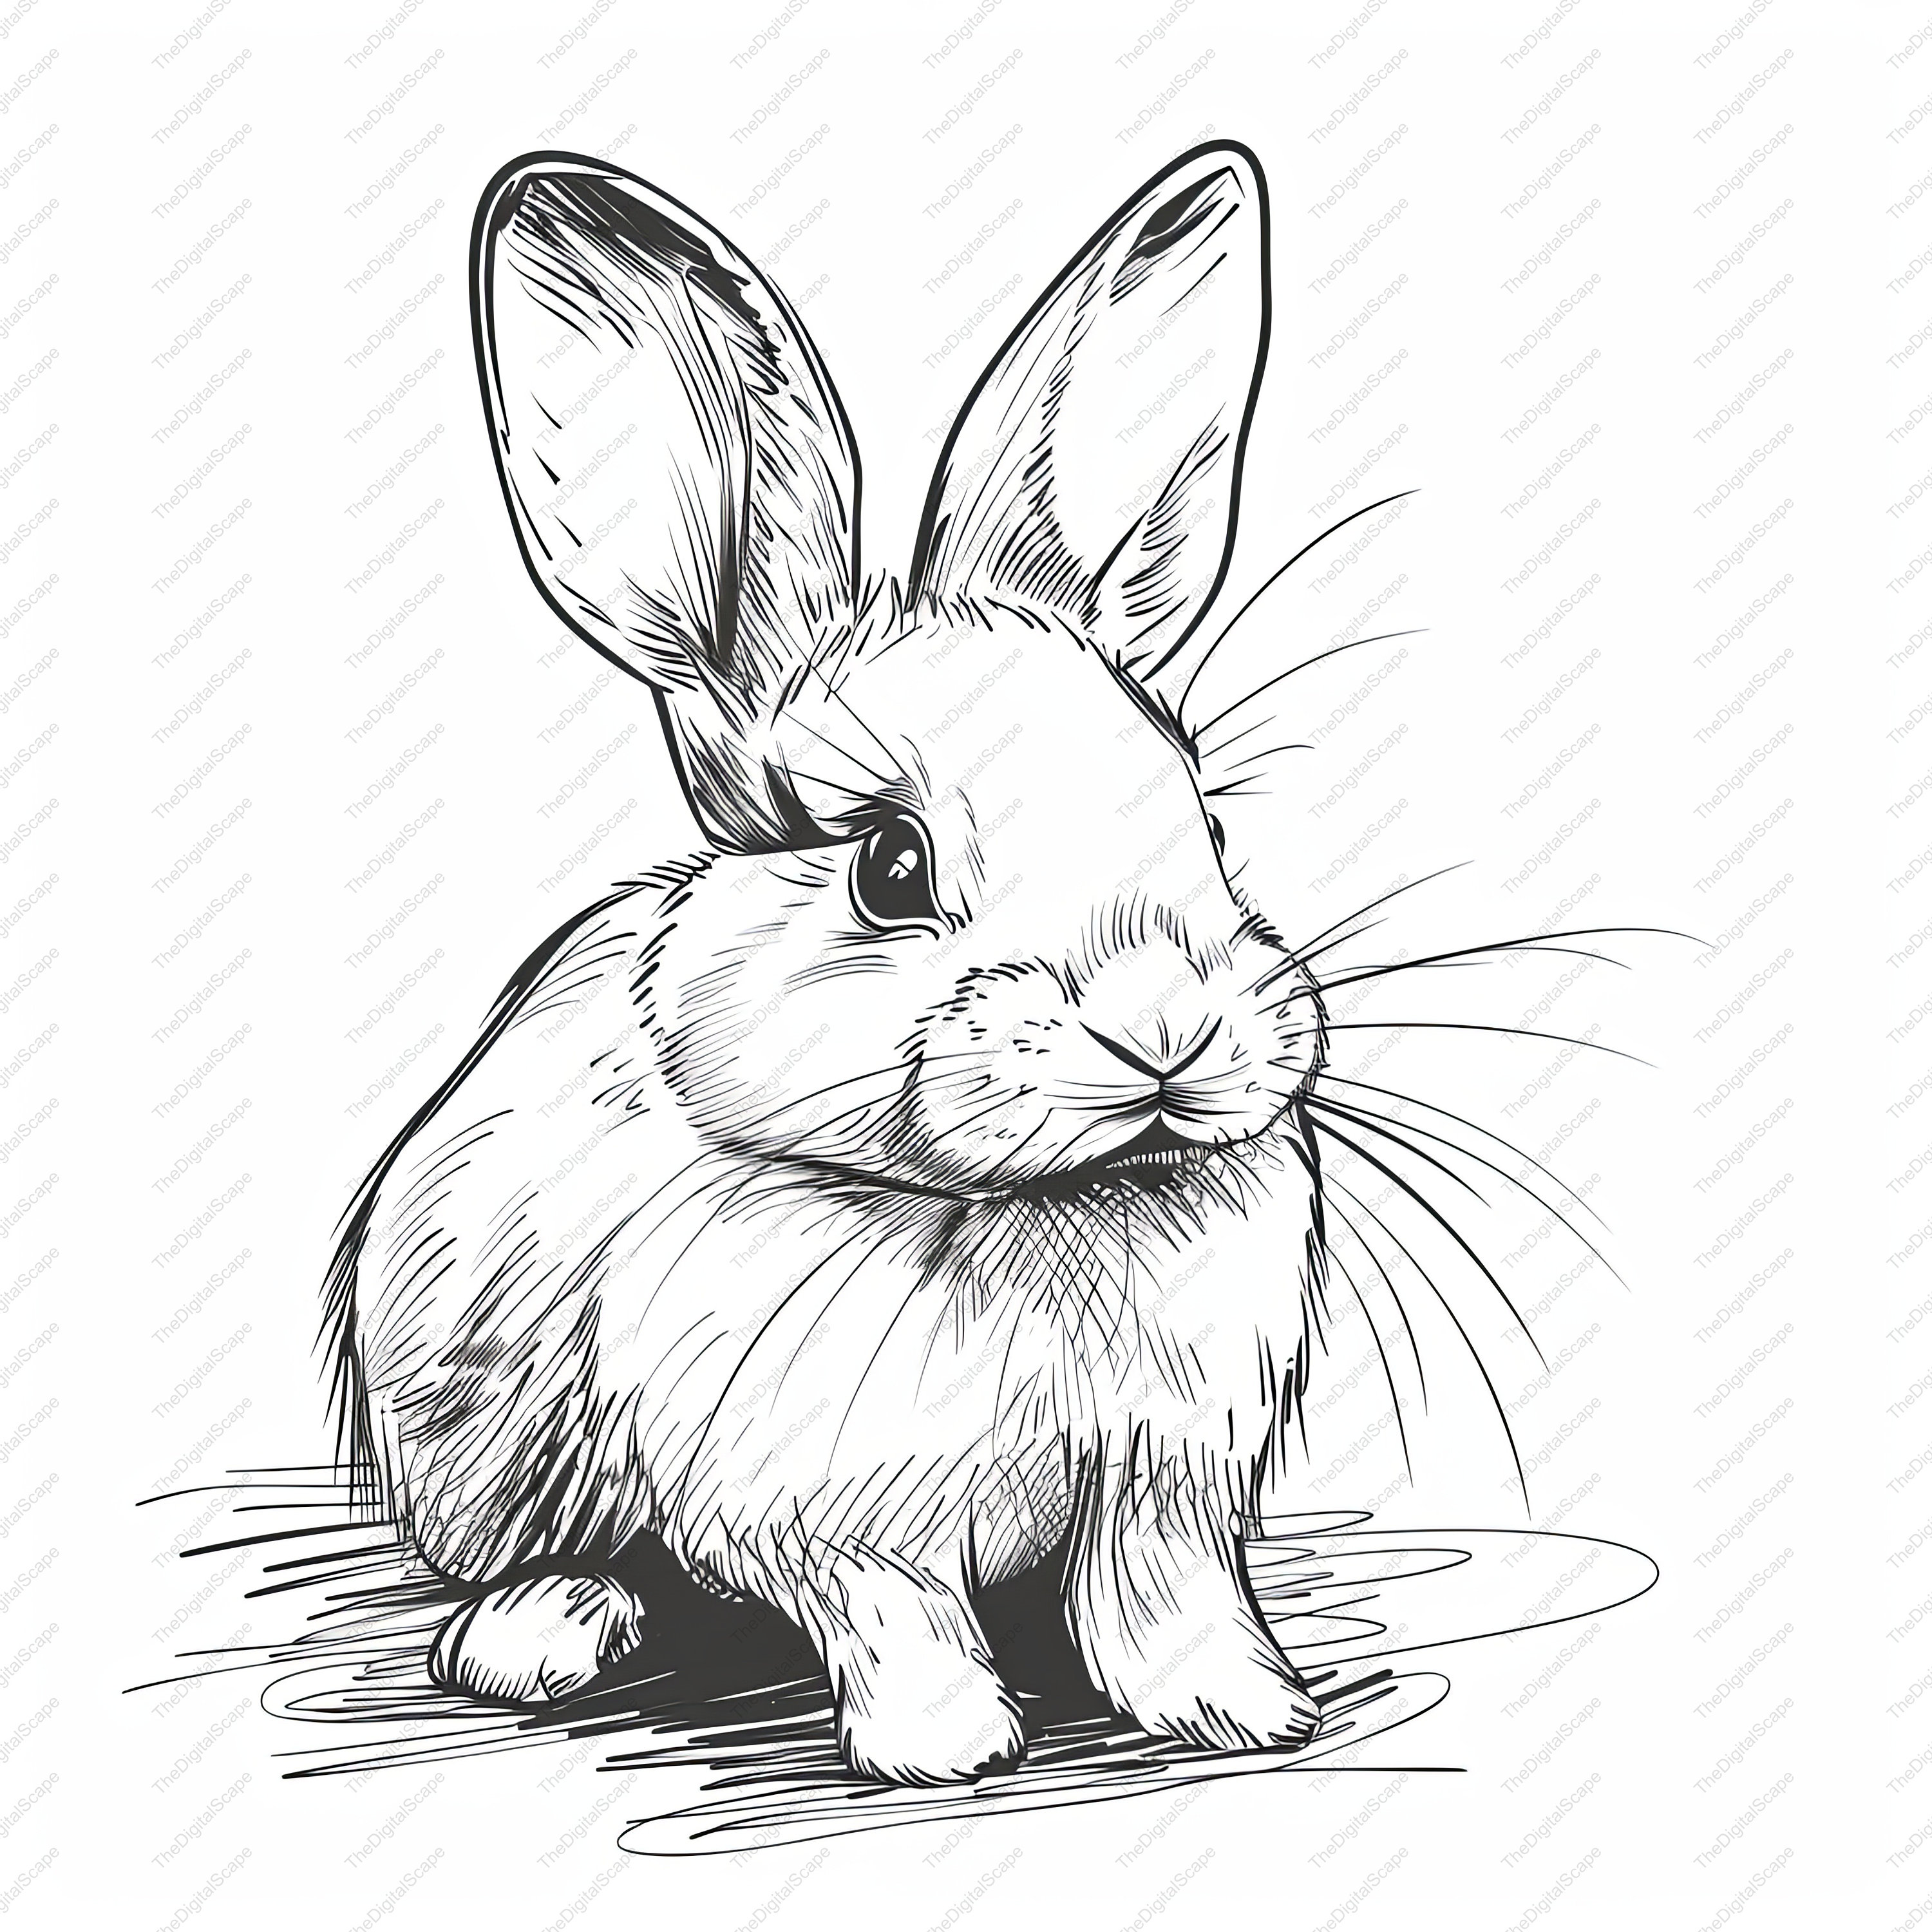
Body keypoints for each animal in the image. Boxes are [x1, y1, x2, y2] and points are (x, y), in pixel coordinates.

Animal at [326, 139, 1341, 1786]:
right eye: (888, 862)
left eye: (1203, 819)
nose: (1164, 1029)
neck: (1026, 1210)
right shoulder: (823, 1516)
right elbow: (895, 1612)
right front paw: (946, 1748)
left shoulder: (1168, 1476)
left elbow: (1161, 1596)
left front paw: (1244, 1710)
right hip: (472, 1435)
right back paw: (544, 1630)